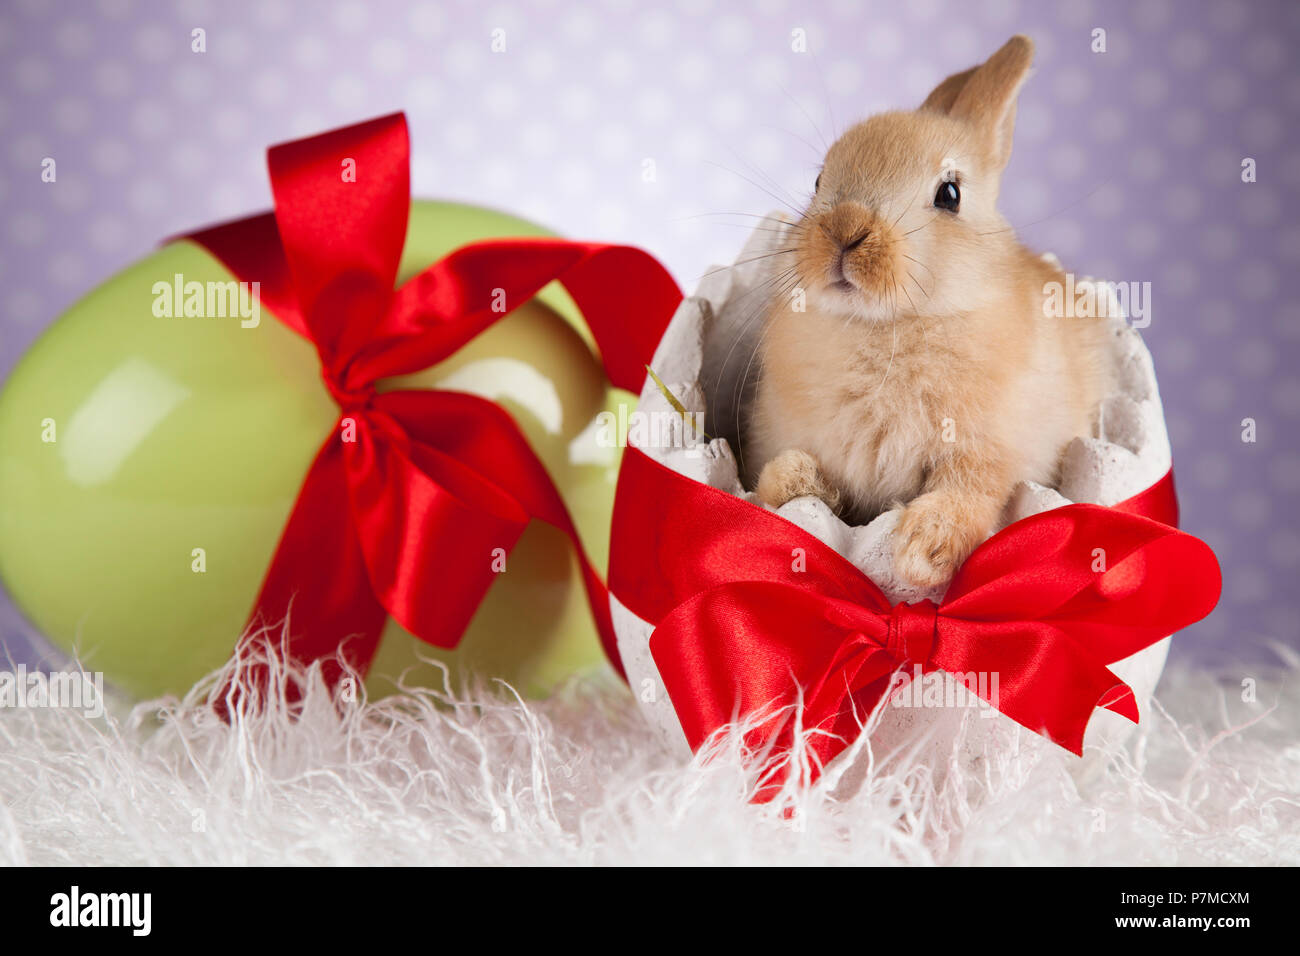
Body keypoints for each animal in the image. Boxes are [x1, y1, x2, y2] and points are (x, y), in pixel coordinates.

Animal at [749, 35, 1112, 590]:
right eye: (818, 180)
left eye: (950, 194)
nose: (845, 230)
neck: (889, 326)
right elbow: (779, 484)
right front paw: (800, 481)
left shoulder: (987, 453)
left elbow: (971, 491)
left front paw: (920, 552)